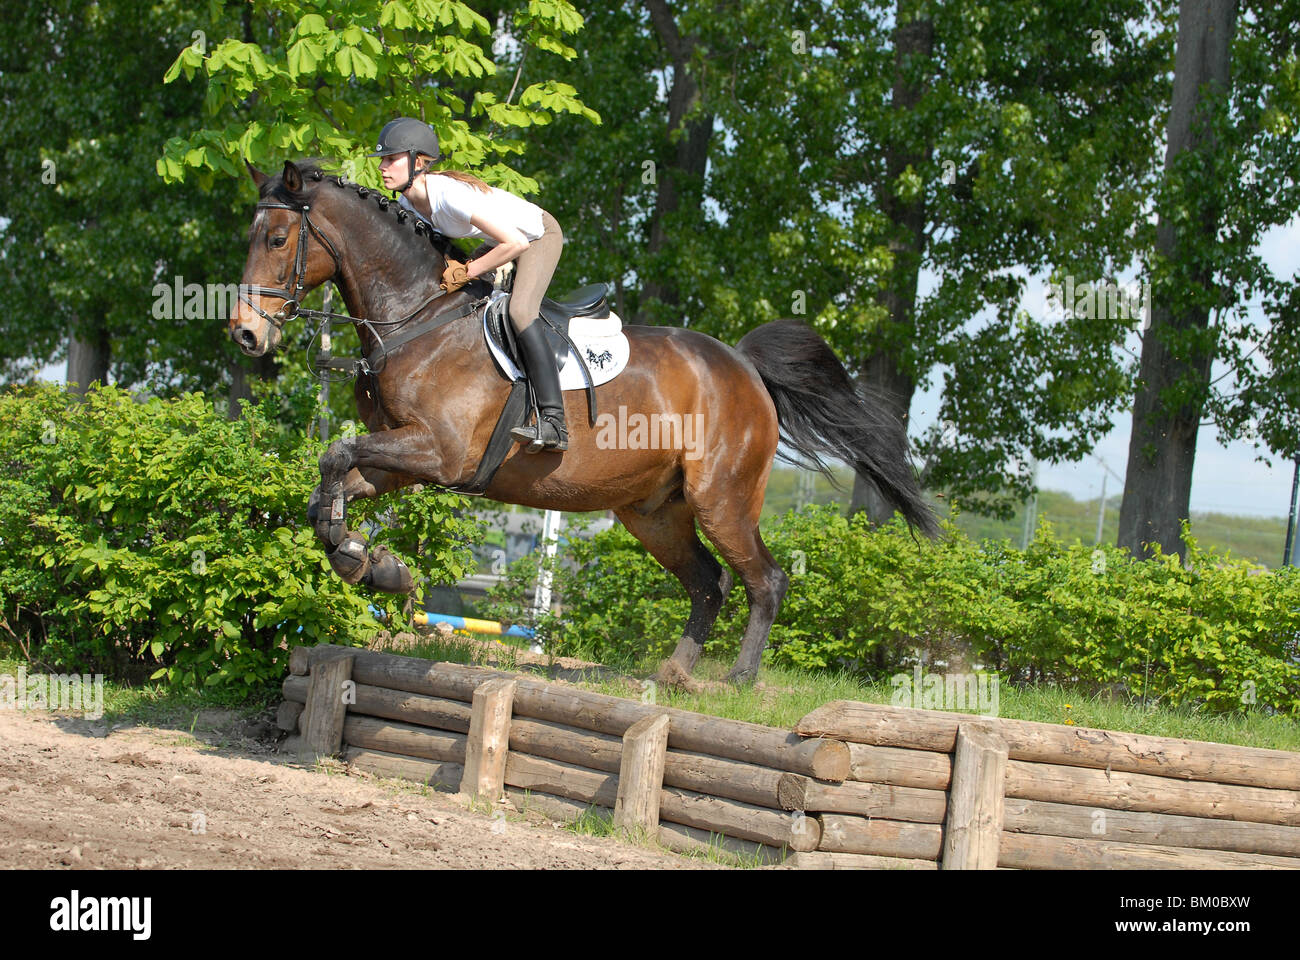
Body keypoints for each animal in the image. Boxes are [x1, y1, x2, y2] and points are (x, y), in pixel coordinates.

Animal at [232, 159, 939, 686]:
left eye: (277, 240)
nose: (245, 335)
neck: (418, 317)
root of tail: (744, 367)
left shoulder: (441, 453)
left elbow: (335, 457)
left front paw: (368, 562)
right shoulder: (402, 457)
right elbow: (333, 479)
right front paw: (369, 563)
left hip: (722, 498)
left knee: (764, 580)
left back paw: (736, 679)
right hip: (654, 512)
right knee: (708, 583)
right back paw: (673, 673)